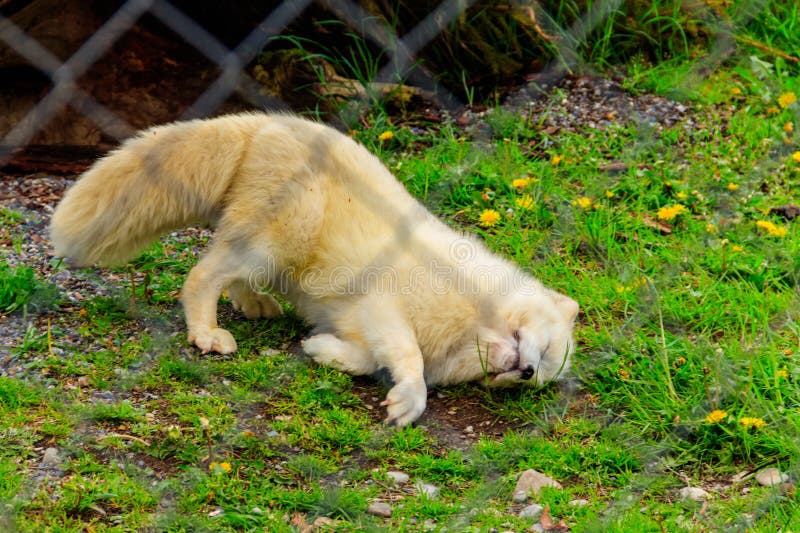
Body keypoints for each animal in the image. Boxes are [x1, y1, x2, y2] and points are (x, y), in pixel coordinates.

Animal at [50, 113, 578, 426]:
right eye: (547, 348)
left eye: (538, 378)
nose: (526, 371)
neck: (471, 317)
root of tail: (266, 124)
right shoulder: (383, 303)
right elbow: (409, 358)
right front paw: (408, 401)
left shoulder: (362, 321)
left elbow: (366, 358)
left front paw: (322, 351)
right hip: (277, 241)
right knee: (201, 276)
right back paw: (206, 334)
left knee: (228, 276)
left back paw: (256, 306)